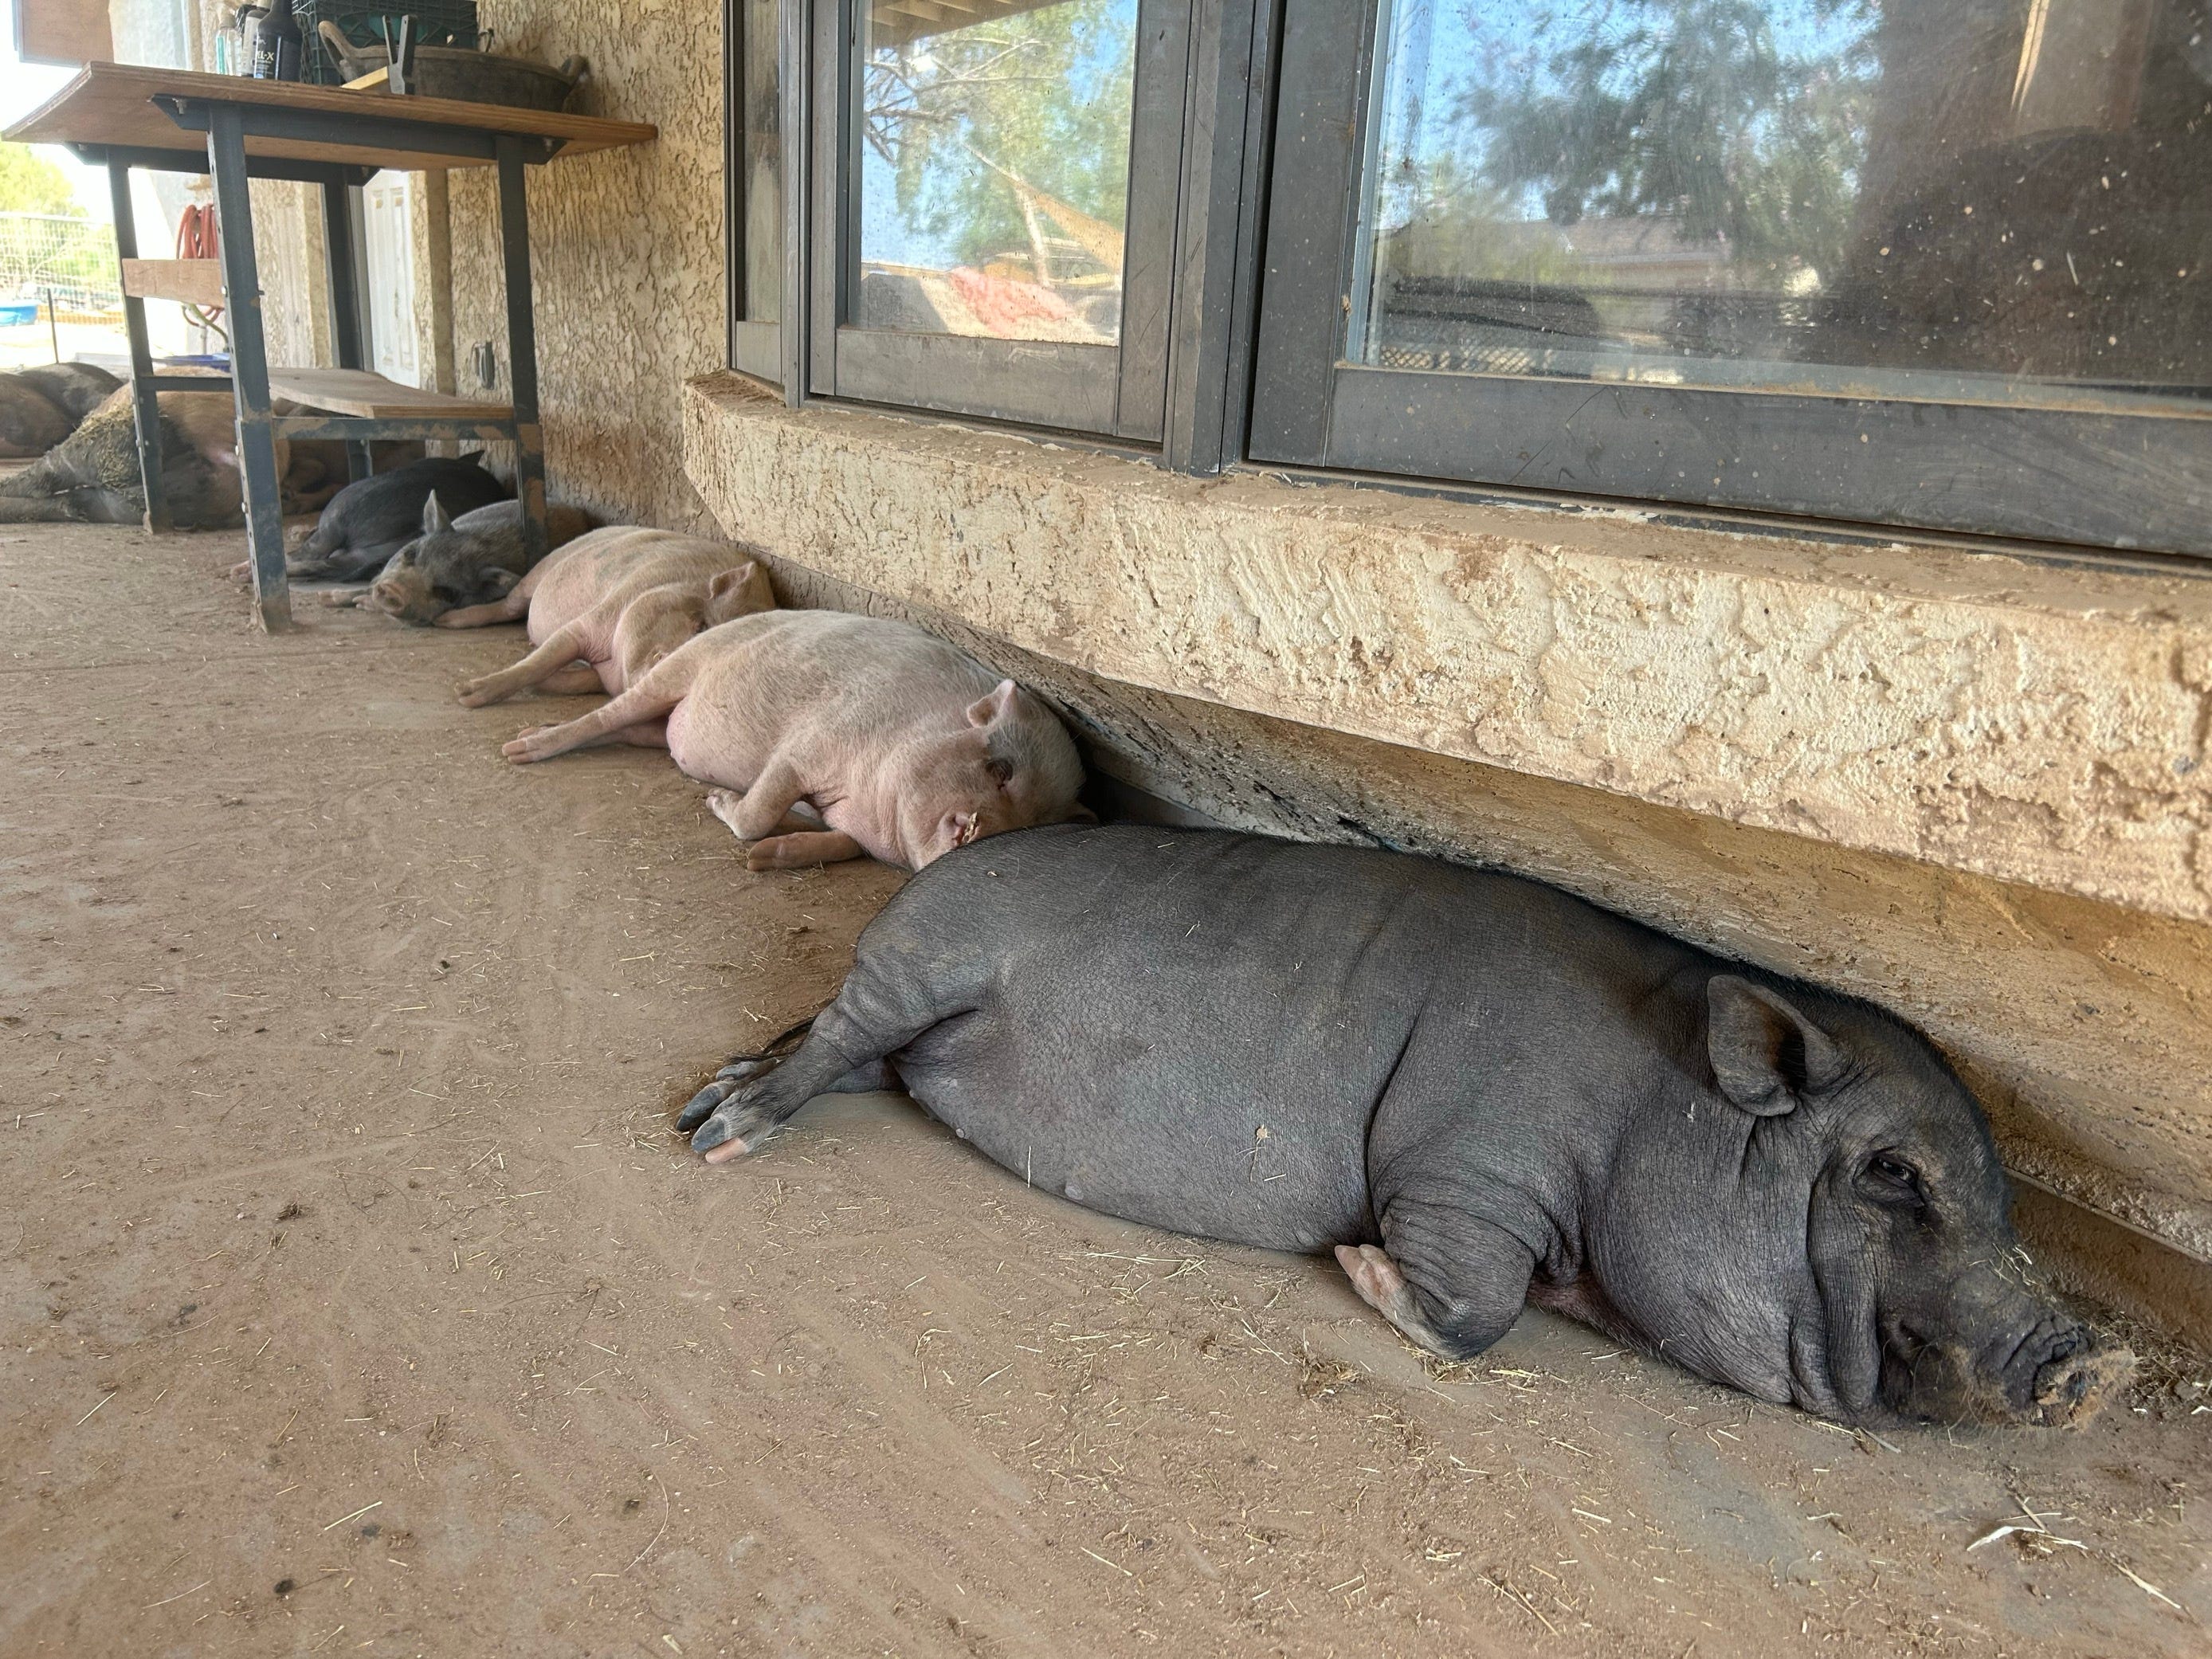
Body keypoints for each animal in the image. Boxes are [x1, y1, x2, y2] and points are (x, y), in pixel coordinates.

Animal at [348, 497, 594, 625]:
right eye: (411, 554)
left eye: (447, 592)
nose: (393, 590)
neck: (480, 547)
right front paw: (352, 600)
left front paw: (361, 603)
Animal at [447, 526, 773, 702]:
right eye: (702, 626)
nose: (671, 666)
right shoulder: (596, 618)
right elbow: (541, 660)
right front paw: (465, 695)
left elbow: (568, 678)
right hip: (540, 571)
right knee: (510, 604)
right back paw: (446, 621)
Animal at [497, 610, 1087, 870]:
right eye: (999, 771)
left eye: (1033, 825)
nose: (978, 831)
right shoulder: (814, 743)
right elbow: (758, 811)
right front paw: (717, 803)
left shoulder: (851, 827)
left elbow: (830, 841)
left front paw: (766, 858)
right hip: (680, 667)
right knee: (605, 714)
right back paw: (517, 748)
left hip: (658, 726)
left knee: (636, 728)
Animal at [677, 825, 2135, 1429]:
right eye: (1891, 1172)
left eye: (2004, 1198)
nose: (2099, 1362)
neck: (1652, 1114)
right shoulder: (1467, 1163)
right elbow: (1475, 1301)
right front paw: (1363, 1267)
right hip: (921, 959)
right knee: (832, 1038)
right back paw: (716, 1129)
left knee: (838, 1043)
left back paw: (721, 1088)